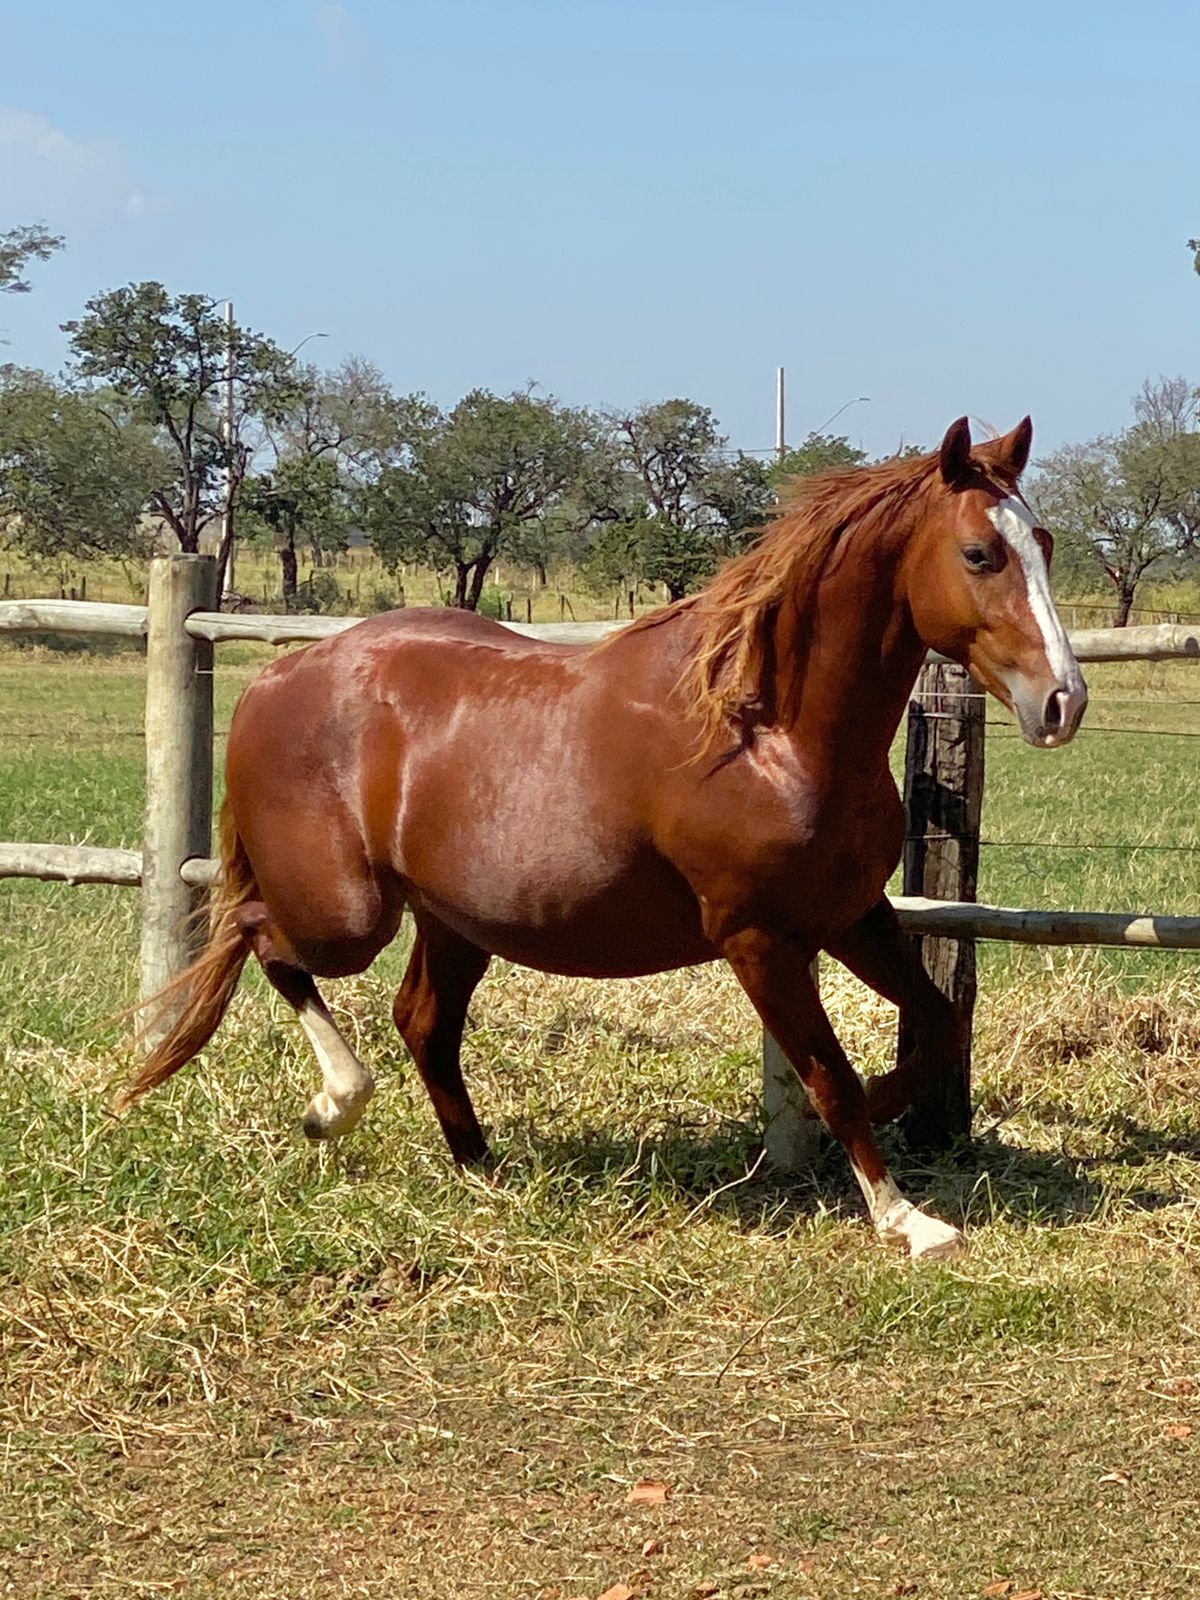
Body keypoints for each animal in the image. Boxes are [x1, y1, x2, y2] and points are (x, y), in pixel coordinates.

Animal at [119, 416, 1086, 1260]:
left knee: (422, 1020)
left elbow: (932, 1029)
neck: (769, 732)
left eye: (1043, 542)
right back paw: (334, 1108)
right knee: (262, 937)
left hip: (455, 920)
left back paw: (482, 1169)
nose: (1062, 702)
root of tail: (274, 679)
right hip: (350, 916)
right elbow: (832, 1075)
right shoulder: (760, 939)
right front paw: (905, 1220)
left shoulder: (853, 914)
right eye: (980, 553)